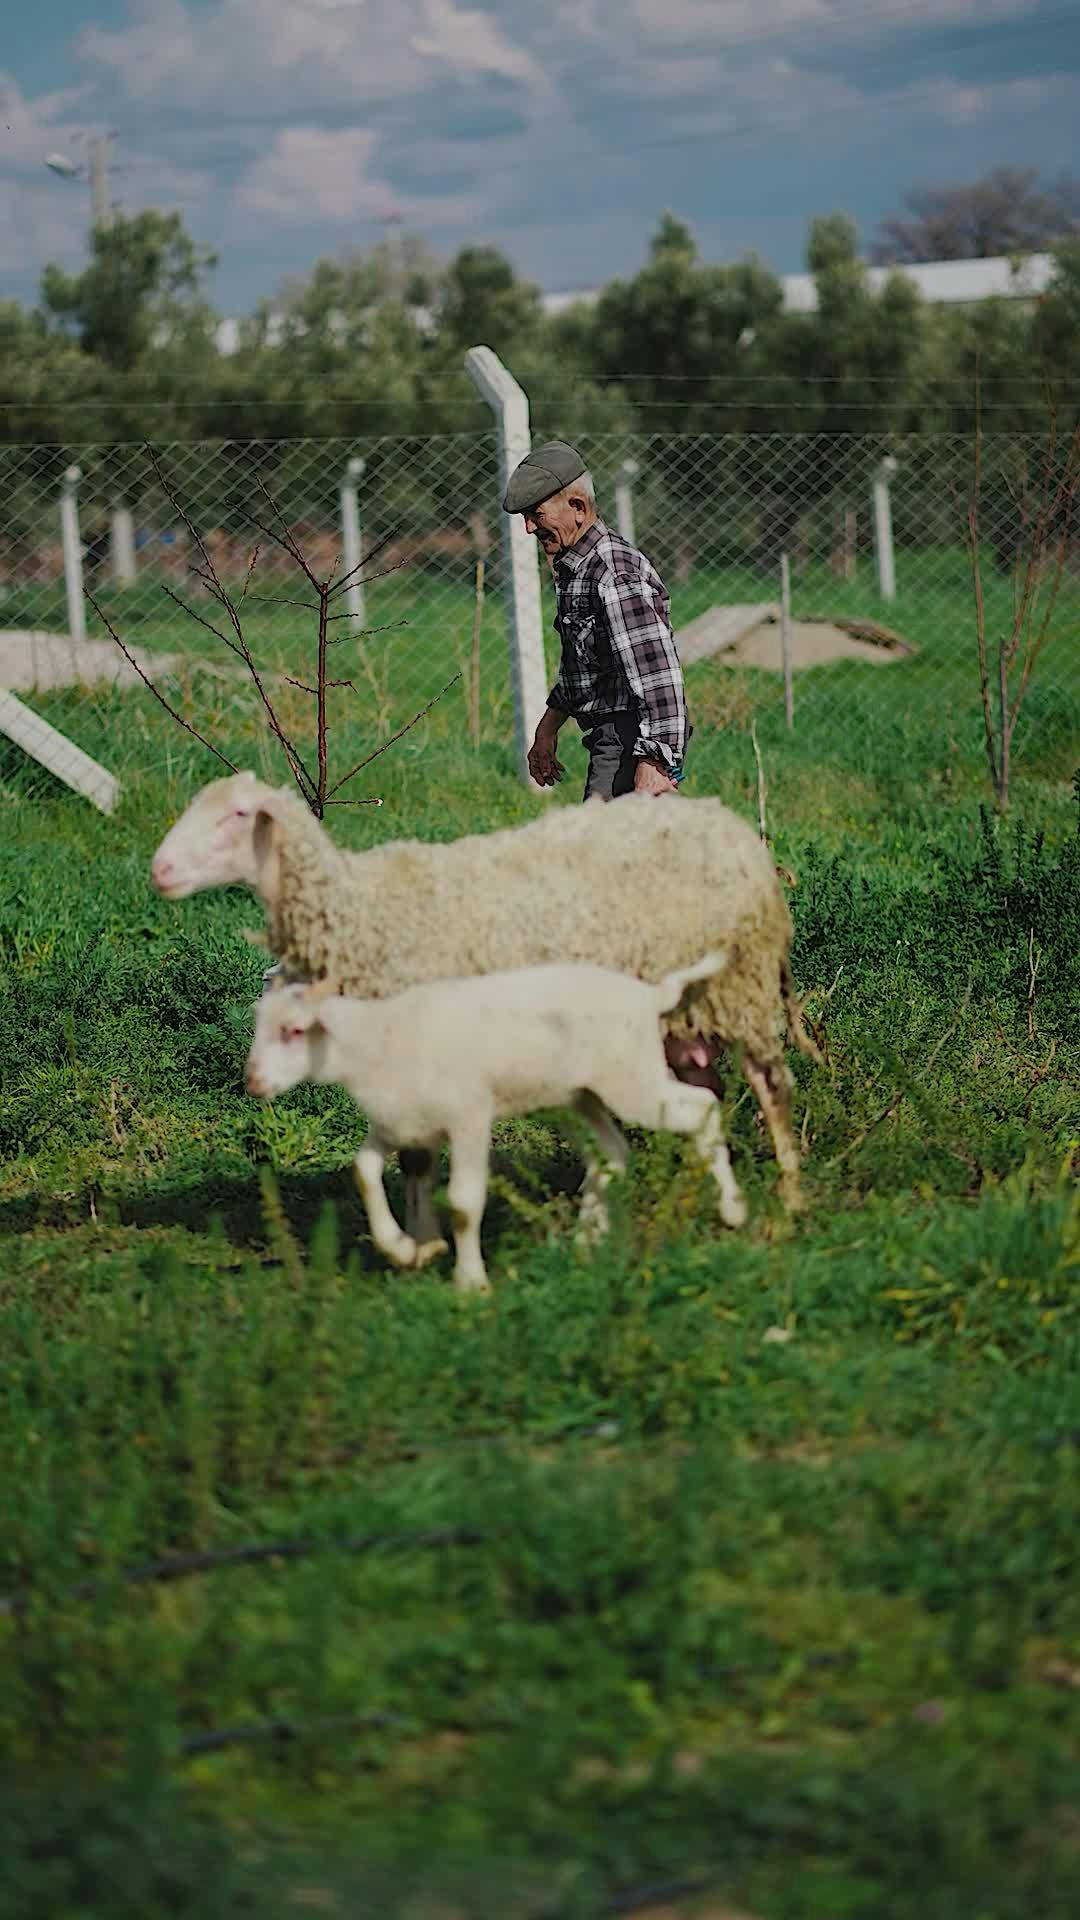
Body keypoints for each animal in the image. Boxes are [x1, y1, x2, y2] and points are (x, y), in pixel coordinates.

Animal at [151, 769, 819, 1212]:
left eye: (237, 816)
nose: (159, 870)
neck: (365, 914)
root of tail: (734, 828)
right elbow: (413, 1158)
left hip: (742, 985)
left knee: (770, 1086)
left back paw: (788, 1197)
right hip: (685, 1010)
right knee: (705, 1091)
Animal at [243, 951, 744, 1292]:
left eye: (294, 1030)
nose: (253, 1082)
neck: (376, 1041)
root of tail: (649, 996)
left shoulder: (468, 1118)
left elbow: (464, 1203)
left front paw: (471, 1282)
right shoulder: (400, 1123)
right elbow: (364, 1171)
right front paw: (402, 1248)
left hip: (631, 1080)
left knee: (702, 1107)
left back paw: (732, 1209)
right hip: (577, 1098)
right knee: (612, 1154)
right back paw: (585, 1245)